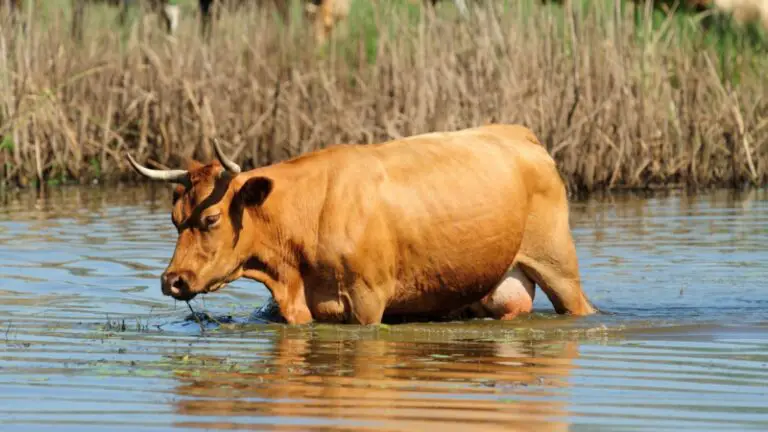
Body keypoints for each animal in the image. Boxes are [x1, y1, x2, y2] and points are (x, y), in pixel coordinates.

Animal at [125, 124, 598, 325]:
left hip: (559, 267)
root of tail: (520, 133)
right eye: (173, 219)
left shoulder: (369, 300)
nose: (172, 280)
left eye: (210, 218)